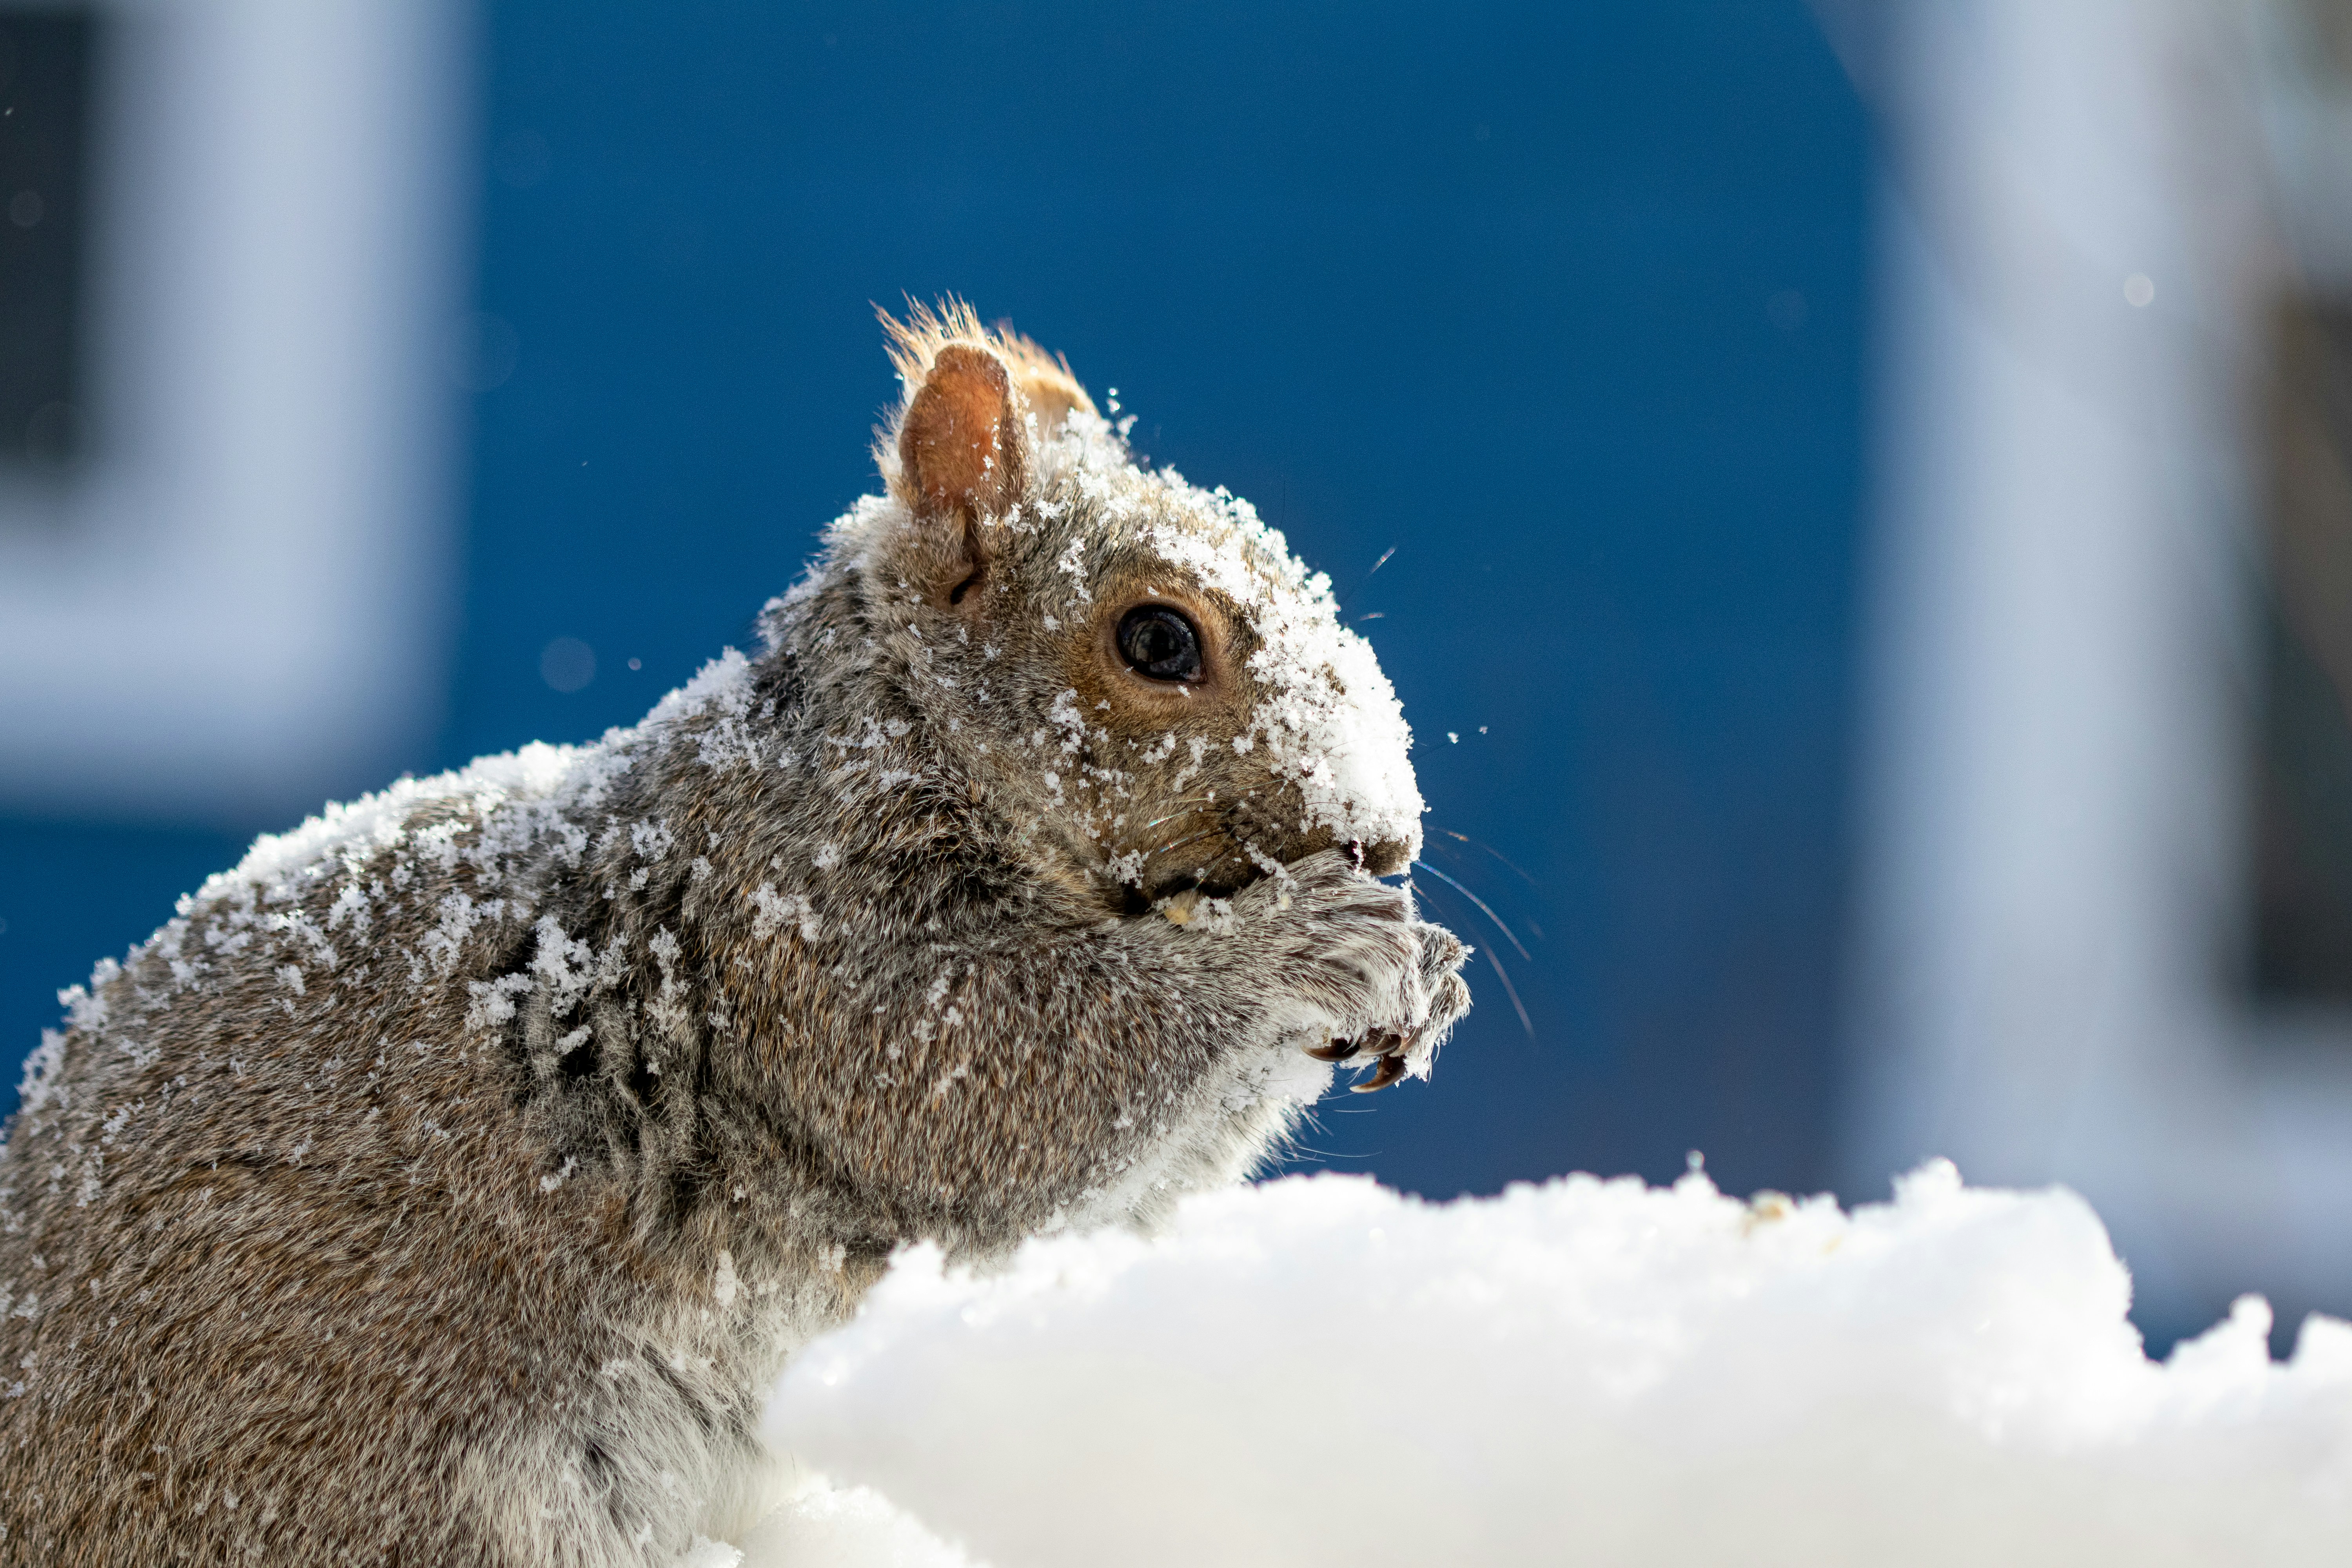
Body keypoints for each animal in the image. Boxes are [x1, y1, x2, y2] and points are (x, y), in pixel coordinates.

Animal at [0, 301, 1471, 1566]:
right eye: (1159, 640)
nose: (1385, 836)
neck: (885, 747)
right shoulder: (797, 958)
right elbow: (1002, 1099)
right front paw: (1316, 945)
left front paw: (1429, 974)